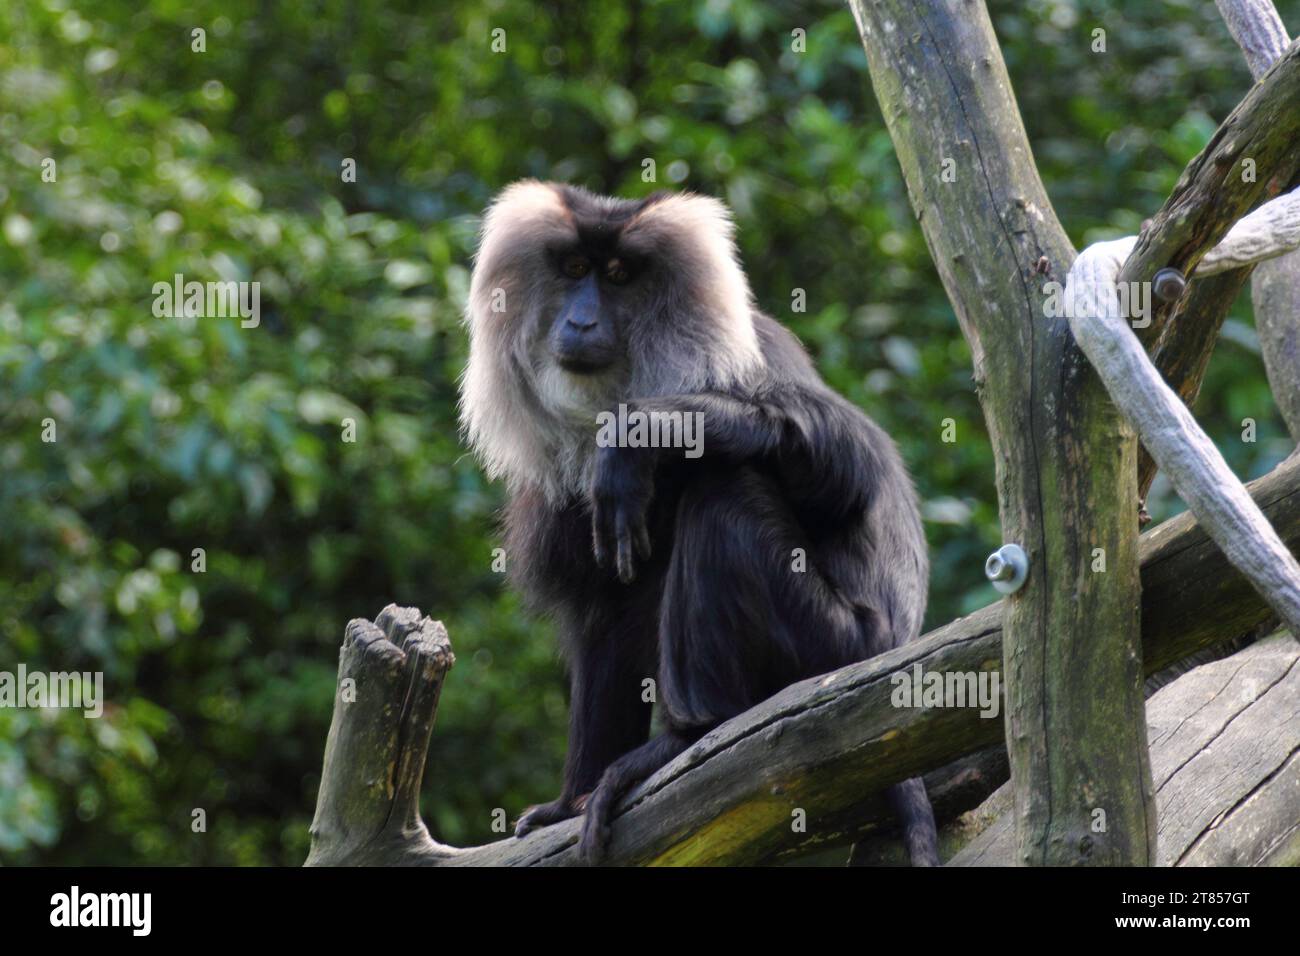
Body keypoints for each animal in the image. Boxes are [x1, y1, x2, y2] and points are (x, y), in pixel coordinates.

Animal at [460, 180, 939, 866]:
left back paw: (692, 735)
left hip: (836, 646)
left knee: (725, 487)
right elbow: (605, 621)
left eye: (618, 276)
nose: (580, 321)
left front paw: (636, 434)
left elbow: (853, 468)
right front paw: (567, 801)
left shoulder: (753, 363)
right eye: (574, 269)